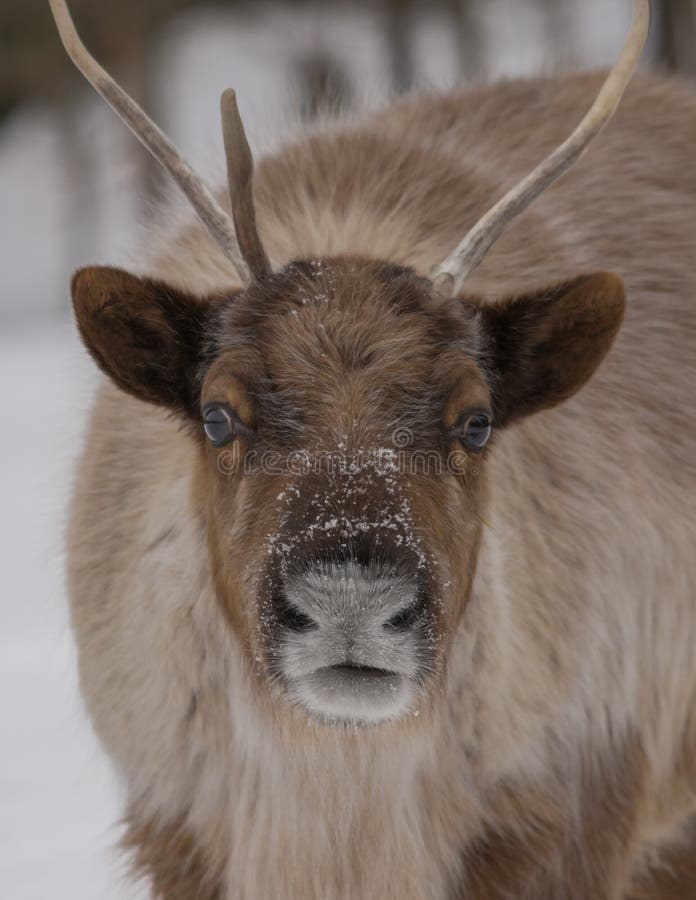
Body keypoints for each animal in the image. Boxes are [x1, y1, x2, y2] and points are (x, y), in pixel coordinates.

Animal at [48, 0, 696, 897]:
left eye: (476, 420)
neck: (341, 825)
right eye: (218, 416)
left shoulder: (576, 825)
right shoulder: (182, 839)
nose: (349, 602)